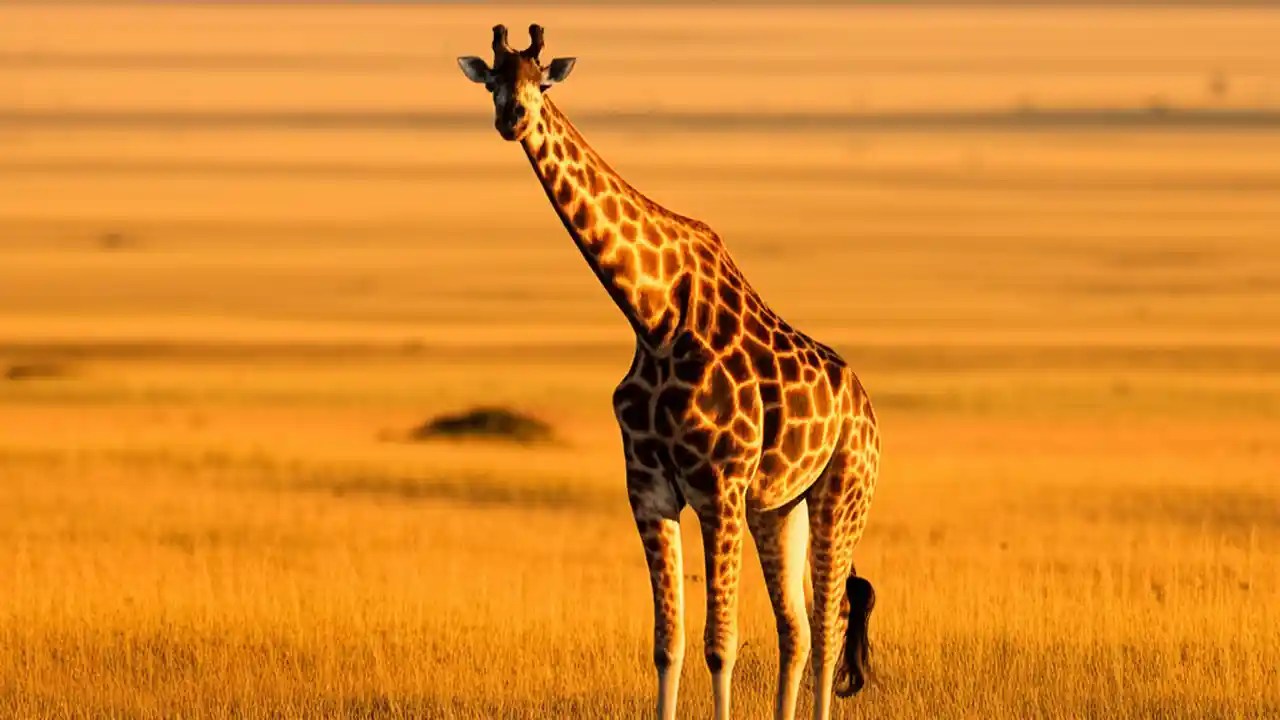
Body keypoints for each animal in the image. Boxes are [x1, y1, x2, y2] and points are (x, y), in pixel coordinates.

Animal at [458, 25, 880, 720]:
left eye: (541, 81)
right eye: (493, 80)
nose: (511, 118)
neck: (653, 316)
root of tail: (870, 414)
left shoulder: (719, 487)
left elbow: (720, 644)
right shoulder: (649, 486)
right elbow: (668, 642)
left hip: (842, 493)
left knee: (829, 621)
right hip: (779, 507)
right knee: (796, 627)